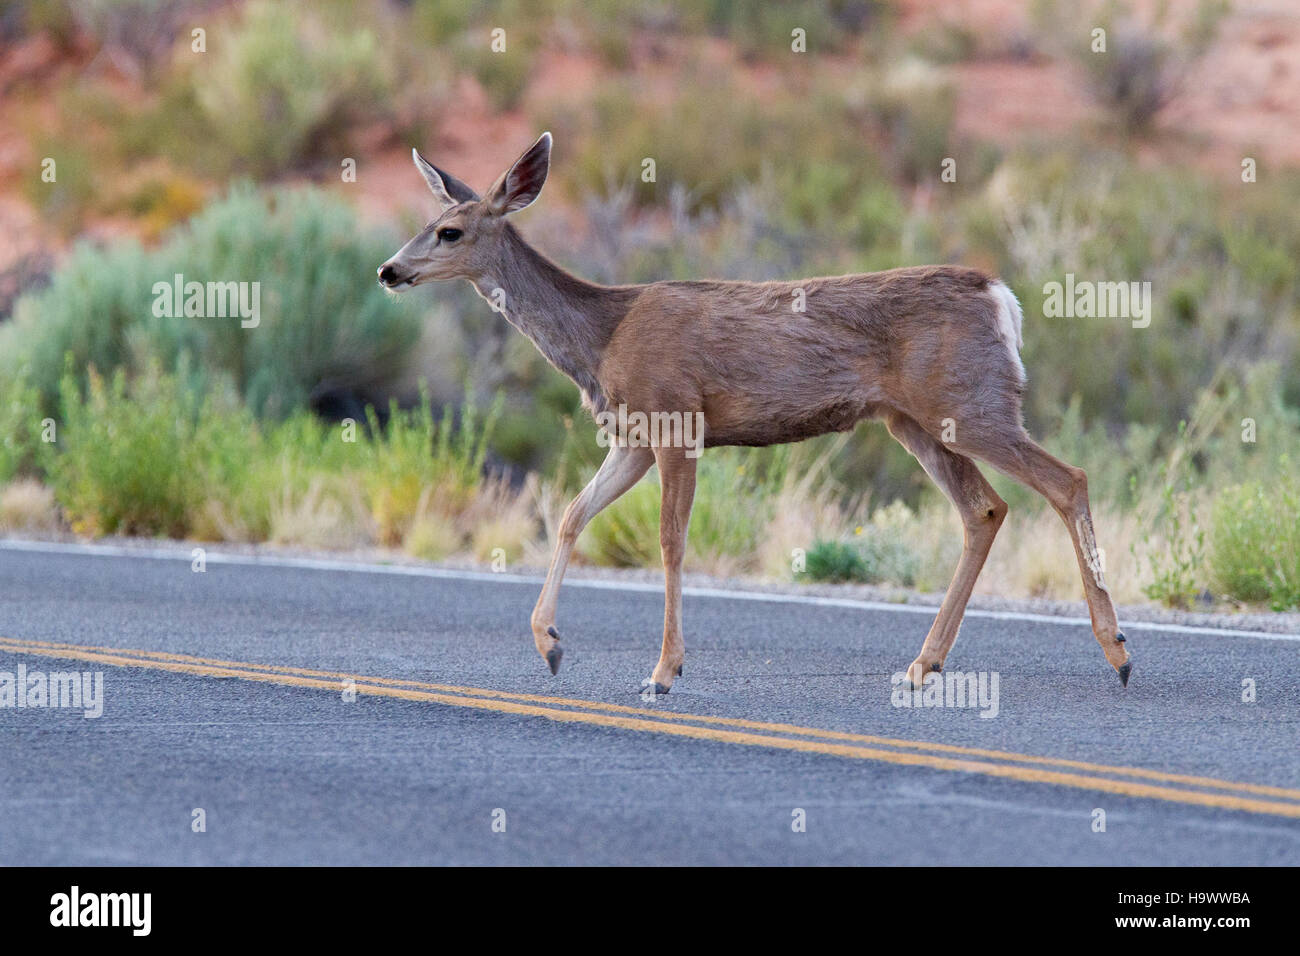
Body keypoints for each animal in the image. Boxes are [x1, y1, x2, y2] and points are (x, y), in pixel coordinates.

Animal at [378, 132, 1132, 696]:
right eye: (423, 225)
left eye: (449, 231)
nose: (388, 270)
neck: (602, 333)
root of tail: (1002, 298)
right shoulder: (632, 437)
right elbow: (570, 514)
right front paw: (550, 645)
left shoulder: (676, 417)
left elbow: (670, 540)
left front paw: (664, 671)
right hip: (914, 421)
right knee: (985, 509)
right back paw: (924, 664)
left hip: (972, 402)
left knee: (1067, 479)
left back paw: (1118, 651)